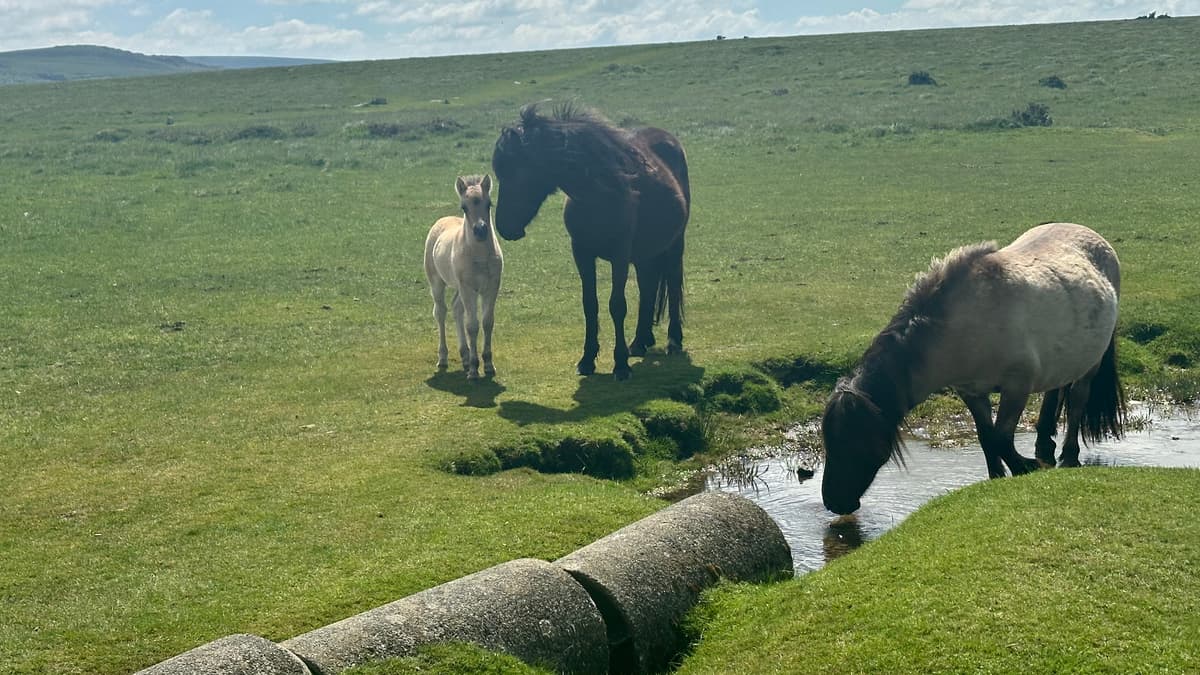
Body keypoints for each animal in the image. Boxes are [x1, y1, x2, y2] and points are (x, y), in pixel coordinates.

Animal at [424, 175, 503, 380]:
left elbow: (487, 322)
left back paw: (465, 356)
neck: (479, 256)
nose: (480, 230)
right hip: (437, 283)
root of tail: (442, 220)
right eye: (464, 207)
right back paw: (443, 358)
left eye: (489, 204)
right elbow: (472, 326)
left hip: (460, 288)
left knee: (456, 308)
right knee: (441, 312)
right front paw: (474, 370)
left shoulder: (491, 287)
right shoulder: (469, 288)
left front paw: (488, 365)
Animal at [491, 102, 690, 380]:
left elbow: (617, 305)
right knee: (648, 287)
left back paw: (673, 340)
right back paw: (640, 341)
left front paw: (620, 364)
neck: (597, 195)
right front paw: (586, 359)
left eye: (519, 172)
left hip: (674, 245)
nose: (504, 227)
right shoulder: (582, 252)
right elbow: (590, 304)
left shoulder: (619, 255)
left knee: (671, 284)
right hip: (644, 254)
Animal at [821, 222, 1127, 515]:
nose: (834, 503)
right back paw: (1044, 443)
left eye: (854, 444)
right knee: (1056, 389)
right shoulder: (971, 392)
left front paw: (1024, 467)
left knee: (1077, 400)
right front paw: (997, 476)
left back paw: (1068, 455)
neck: (963, 325)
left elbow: (1001, 437)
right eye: (829, 443)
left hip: (1091, 363)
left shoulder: (1017, 386)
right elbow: (987, 437)